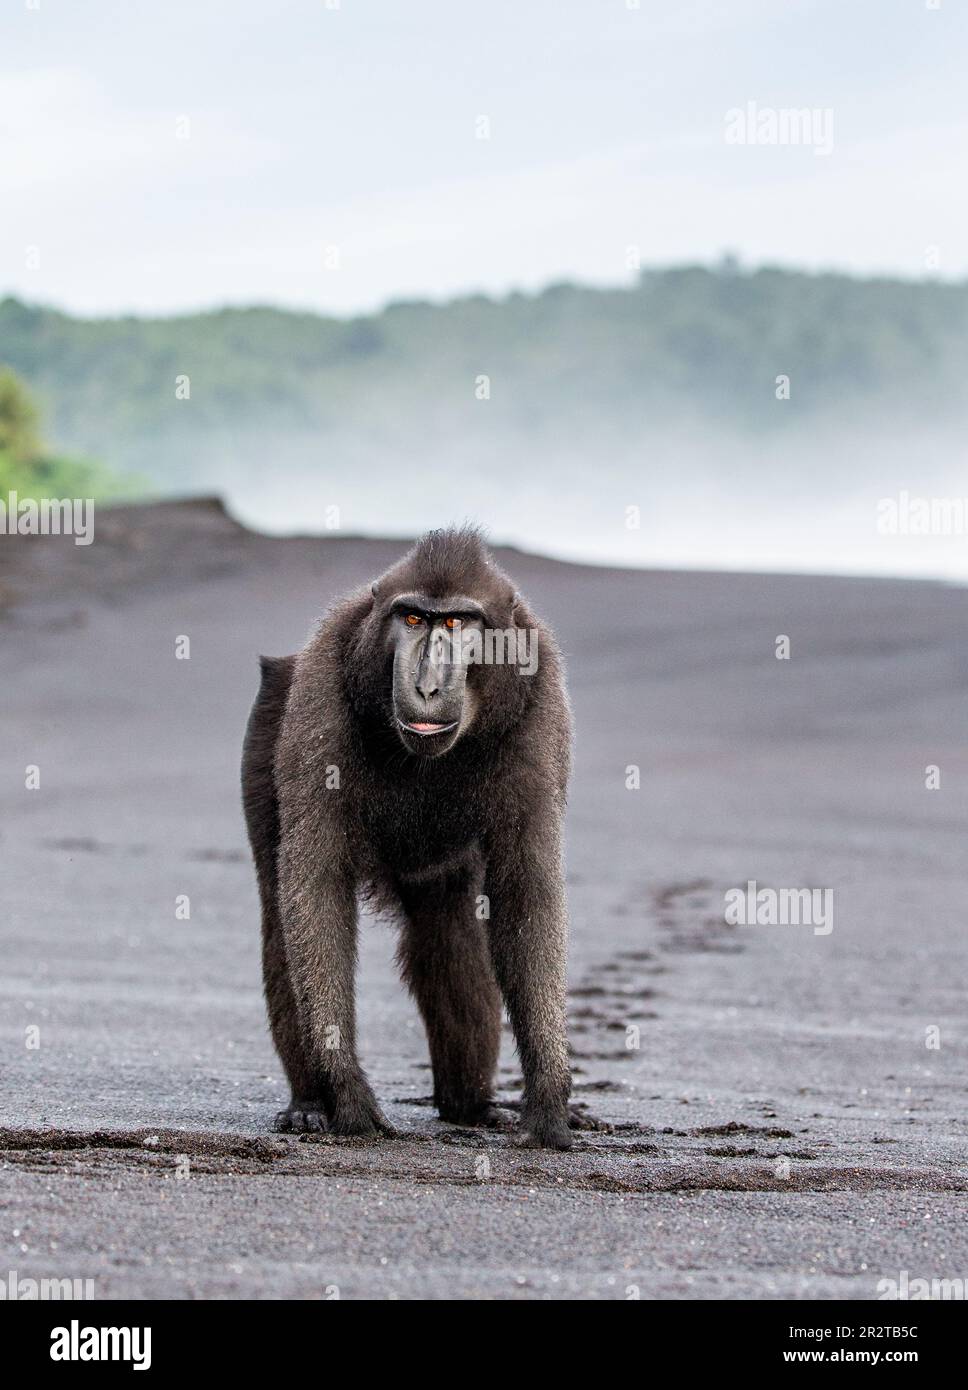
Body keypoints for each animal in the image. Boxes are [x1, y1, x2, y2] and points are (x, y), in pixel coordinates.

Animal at [241, 526, 575, 1148]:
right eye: (413, 620)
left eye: (457, 624)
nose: (425, 684)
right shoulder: (321, 687)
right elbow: (315, 889)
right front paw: (345, 1090)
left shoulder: (542, 702)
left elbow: (527, 895)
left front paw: (547, 1099)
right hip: (271, 717)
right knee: (280, 916)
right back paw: (309, 1103)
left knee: (449, 929)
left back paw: (468, 1105)